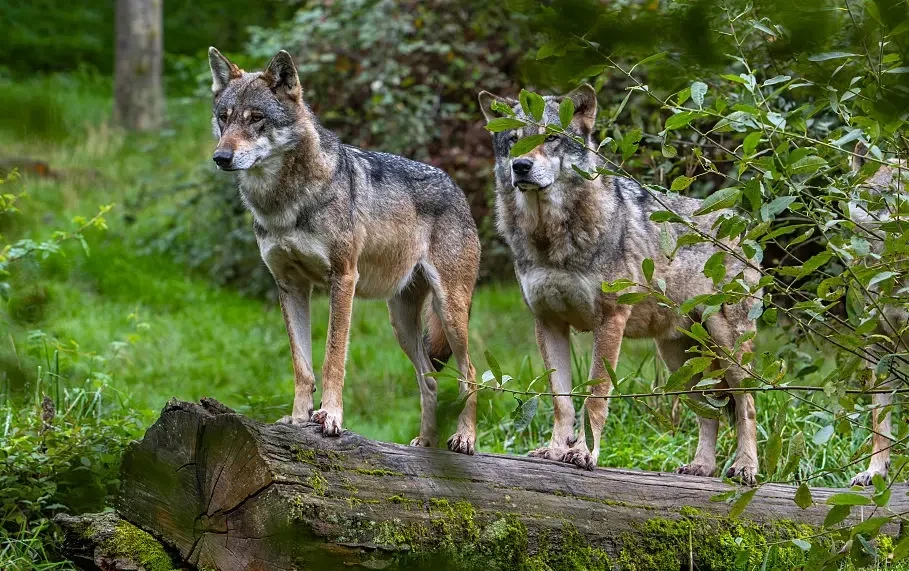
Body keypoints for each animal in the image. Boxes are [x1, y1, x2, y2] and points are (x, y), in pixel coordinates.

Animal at [207, 47, 481, 454]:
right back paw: (425, 445)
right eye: (223, 118)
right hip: (401, 323)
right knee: (429, 379)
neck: (283, 203)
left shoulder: (343, 278)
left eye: (256, 118)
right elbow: (302, 367)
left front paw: (331, 417)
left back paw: (464, 438)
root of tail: (456, 186)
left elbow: (332, 358)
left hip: (450, 312)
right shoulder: (290, 286)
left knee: (471, 372)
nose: (221, 157)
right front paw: (298, 420)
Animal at [479, 85, 762, 484]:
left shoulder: (610, 320)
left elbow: (595, 397)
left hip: (726, 346)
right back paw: (701, 468)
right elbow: (562, 401)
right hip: (679, 360)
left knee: (746, 404)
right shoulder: (547, 322)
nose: (521, 166)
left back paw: (745, 467)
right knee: (708, 412)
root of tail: (740, 224)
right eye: (513, 141)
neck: (550, 239)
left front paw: (584, 453)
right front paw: (554, 451)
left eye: (550, 138)